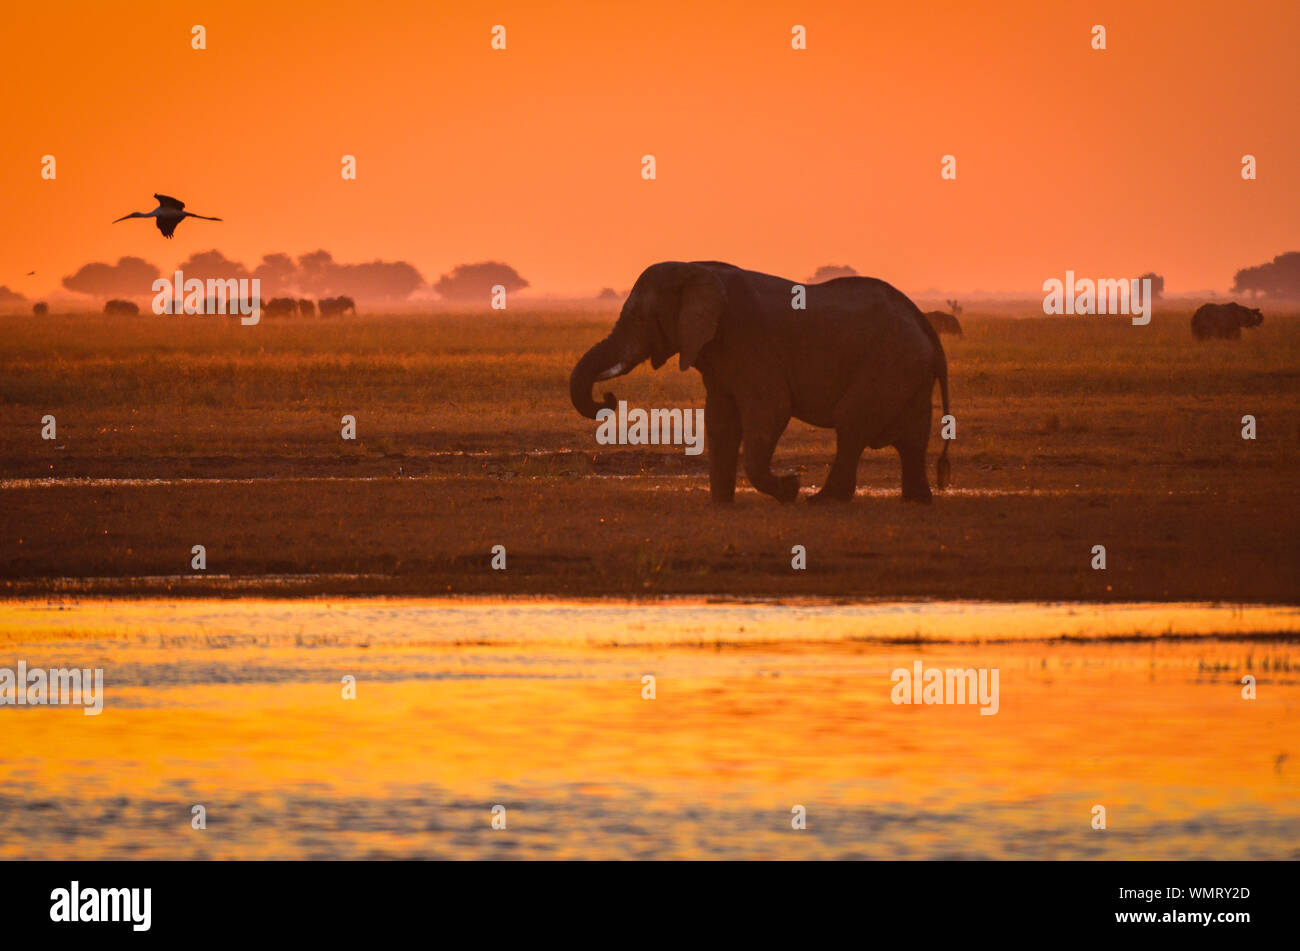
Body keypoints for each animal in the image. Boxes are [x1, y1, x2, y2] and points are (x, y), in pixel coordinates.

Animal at [570, 261, 951, 504]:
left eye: (639, 318)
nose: (608, 397)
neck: (694, 268)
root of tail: (924, 324)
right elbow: (721, 419)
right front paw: (721, 504)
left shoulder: (747, 339)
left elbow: (770, 410)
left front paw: (790, 489)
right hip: (907, 369)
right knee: (913, 438)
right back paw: (916, 500)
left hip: (890, 361)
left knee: (852, 423)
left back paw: (822, 501)